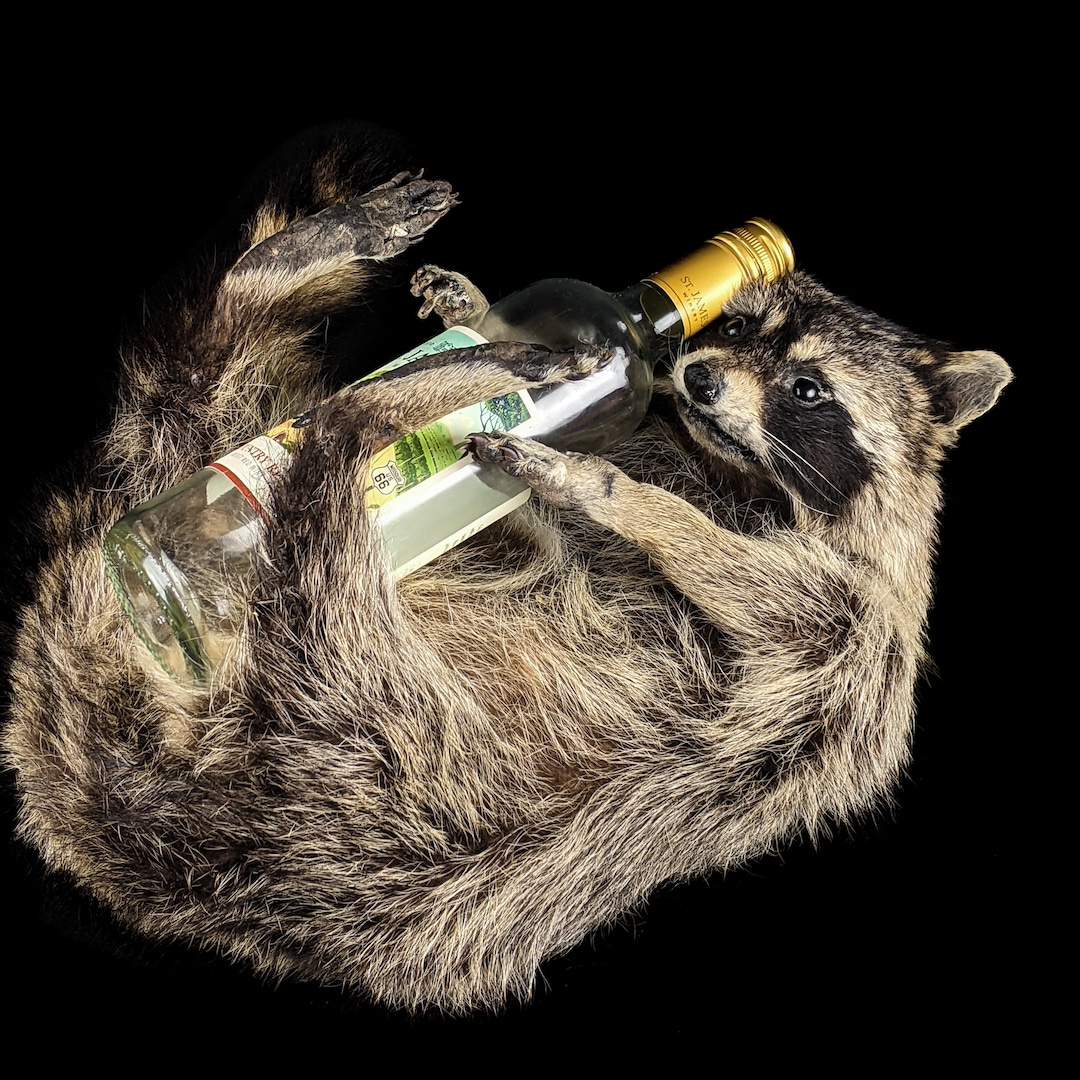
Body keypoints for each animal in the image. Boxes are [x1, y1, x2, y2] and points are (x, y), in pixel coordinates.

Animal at [2, 124, 1011, 1013]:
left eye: (807, 388)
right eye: (734, 327)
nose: (697, 375)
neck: (718, 461)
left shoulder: (854, 647)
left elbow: (768, 599)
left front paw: (616, 492)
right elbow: (542, 520)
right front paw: (475, 309)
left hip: (372, 772)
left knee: (328, 493)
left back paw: (383, 410)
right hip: (188, 481)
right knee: (210, 368)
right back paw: (321, 287)